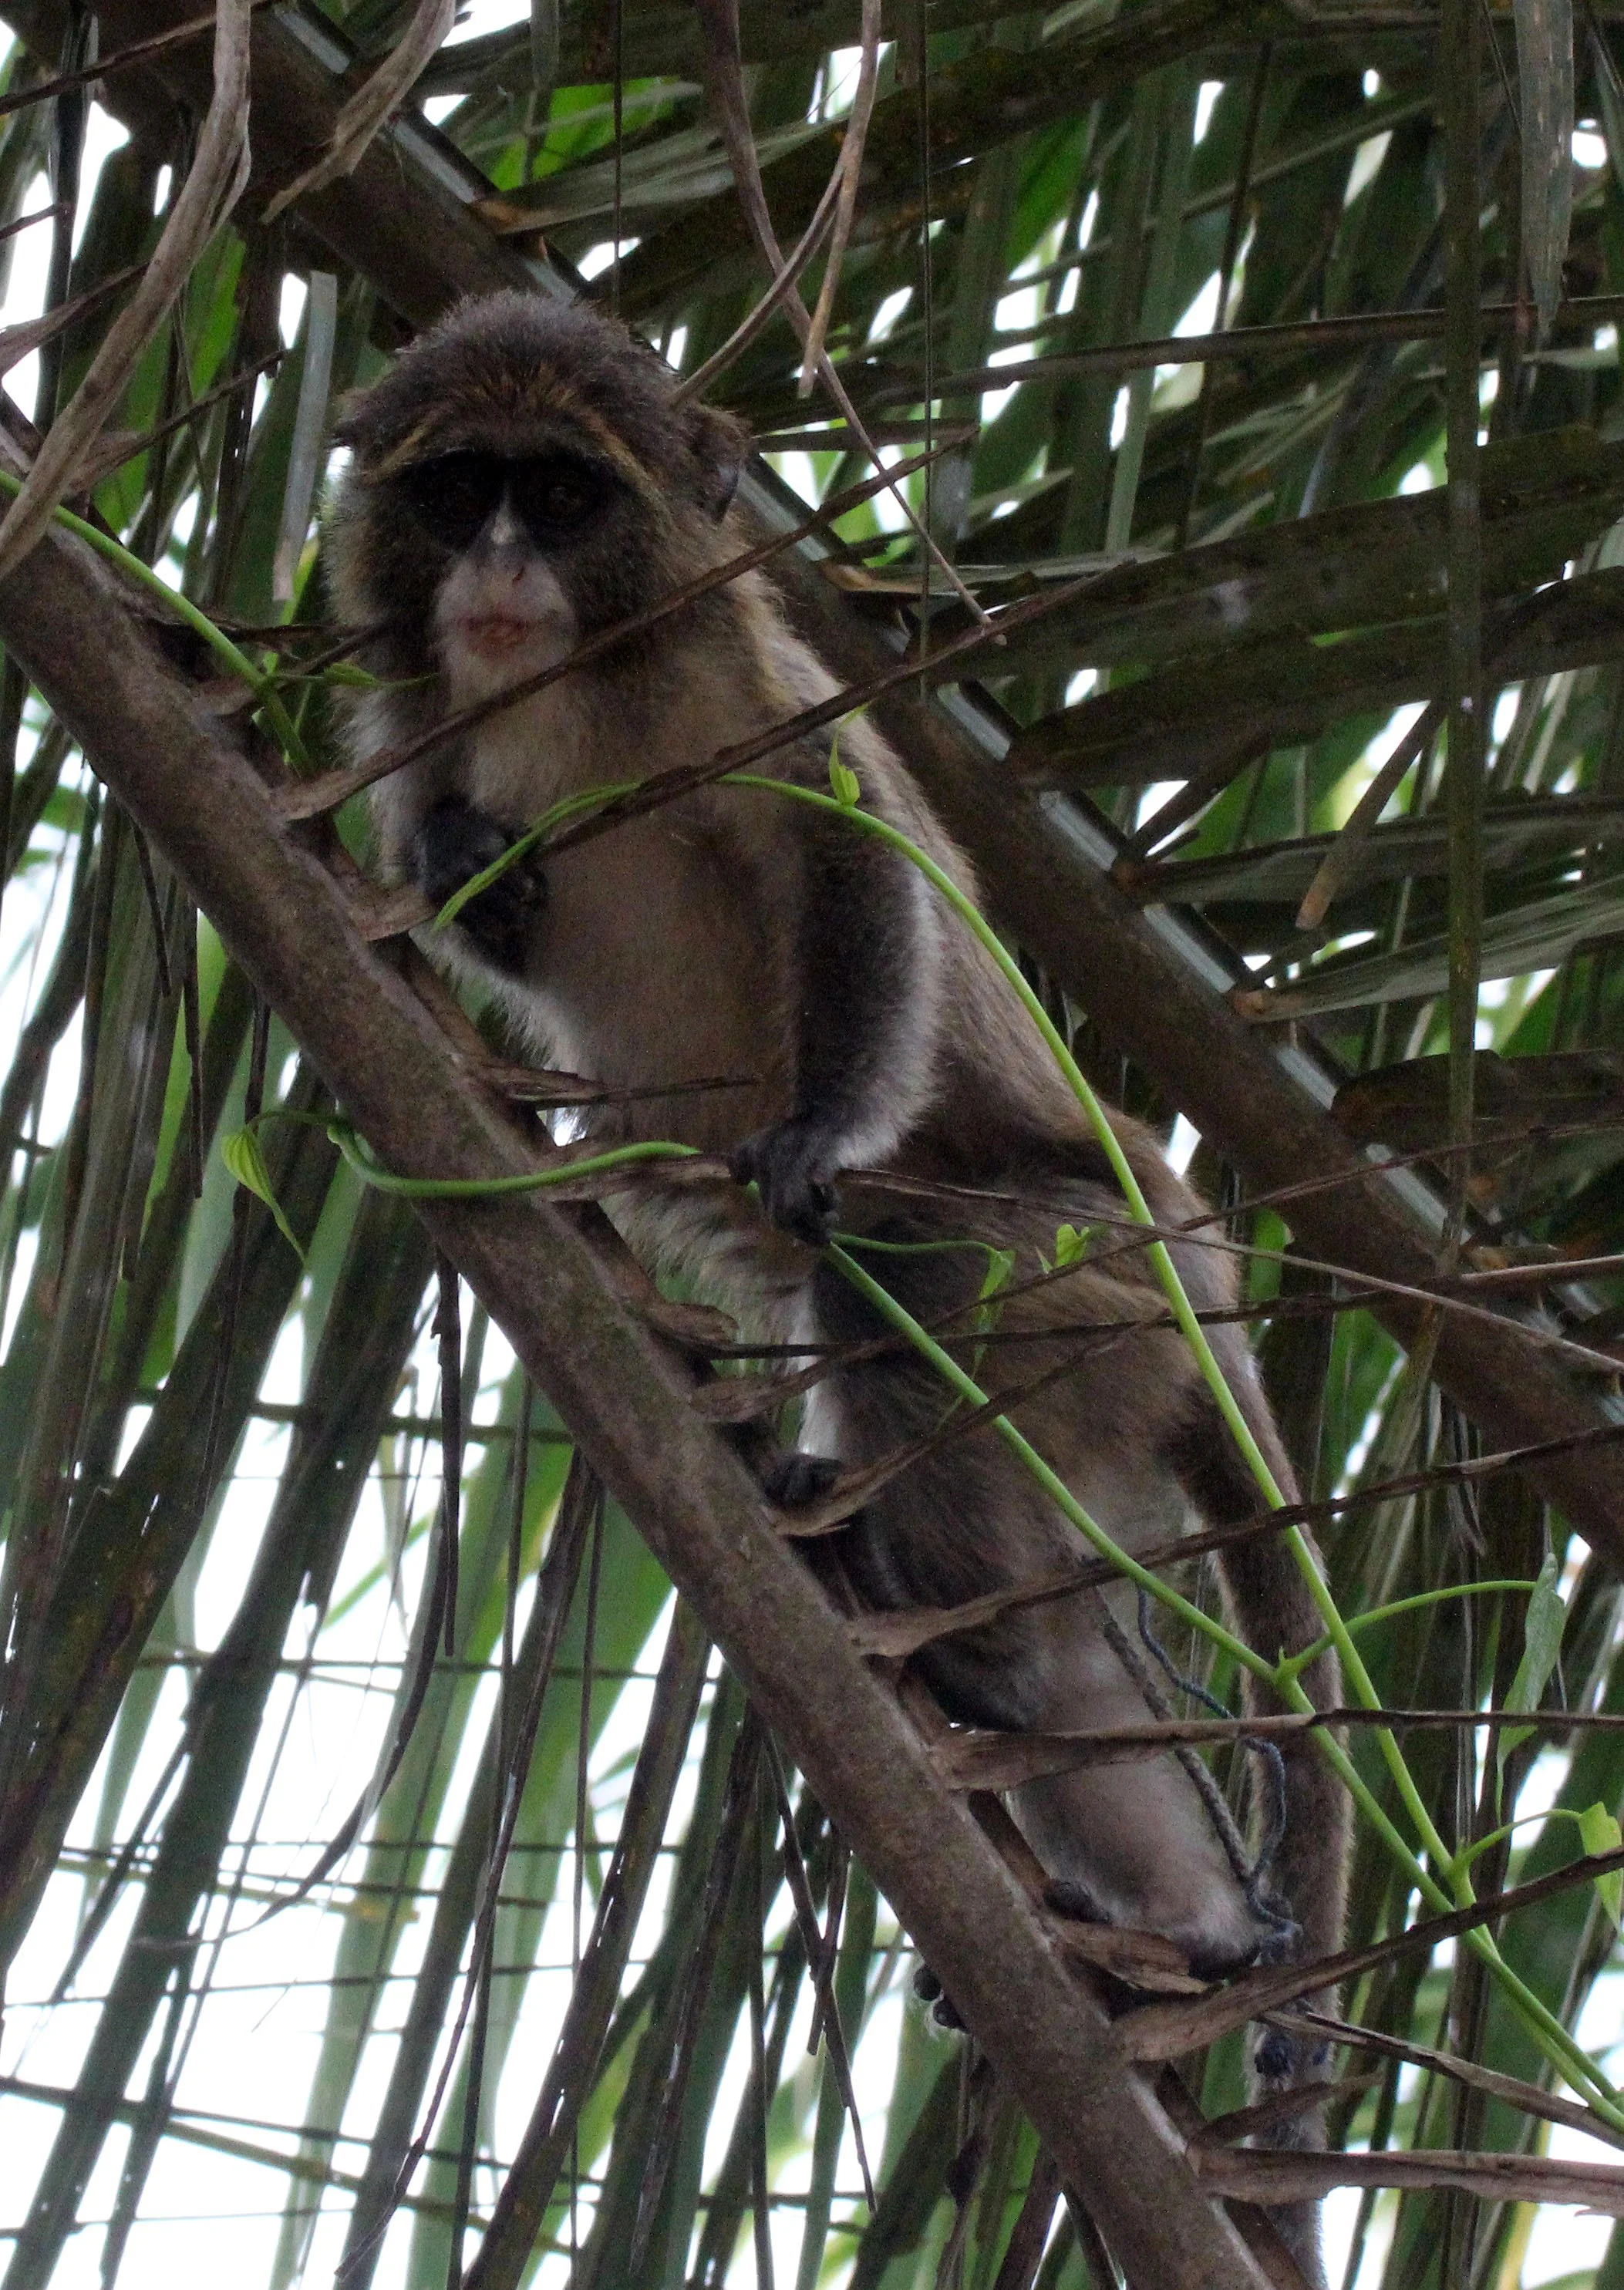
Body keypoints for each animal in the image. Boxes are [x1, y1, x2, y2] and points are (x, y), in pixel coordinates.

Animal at [327, 289, 1349, 2285]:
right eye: (464, 486)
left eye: (564, 491)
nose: (500, 564)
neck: (568, 681)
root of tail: (1204, 1272)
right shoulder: (416, 725)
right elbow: (468, 881)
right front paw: (463, 875)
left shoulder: (754, 705)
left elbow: (850, 881)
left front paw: (809, 1138)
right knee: (1067, 1656)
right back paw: (1172, 1913)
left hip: (1094, 1277)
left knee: (906, 1277)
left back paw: (958, 1636)